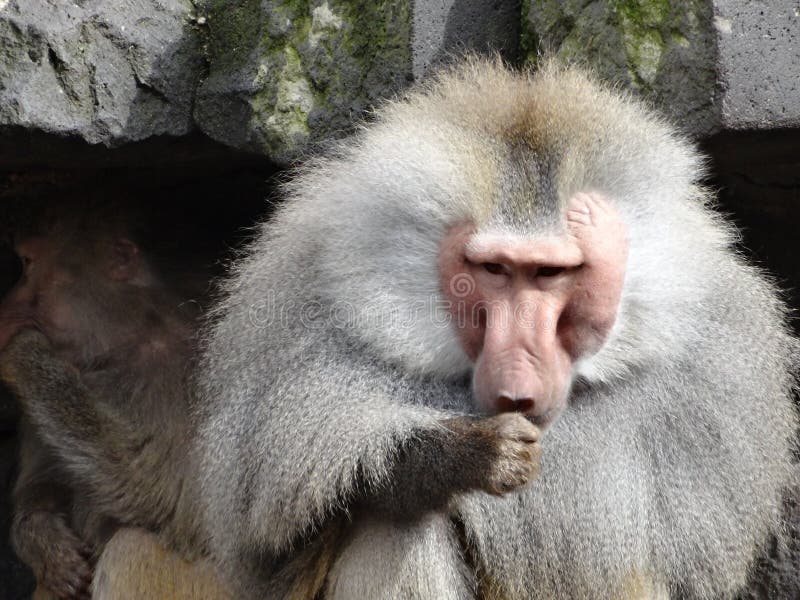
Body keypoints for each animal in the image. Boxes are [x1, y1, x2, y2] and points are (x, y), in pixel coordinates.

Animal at [0, 205, 231, 599]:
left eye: (28, 263)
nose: (2, 307)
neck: (128, 331)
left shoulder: (189, 364)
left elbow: (176, 504)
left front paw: (21, 353)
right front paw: (40, 537)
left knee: (132, 545)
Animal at [194, 57, 799, 600]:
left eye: (550, 272)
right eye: (494, 269)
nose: (517, 385)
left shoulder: (719, 359)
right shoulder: (300, 319)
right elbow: (287, 541)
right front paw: (460, 456)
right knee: (400, 524)